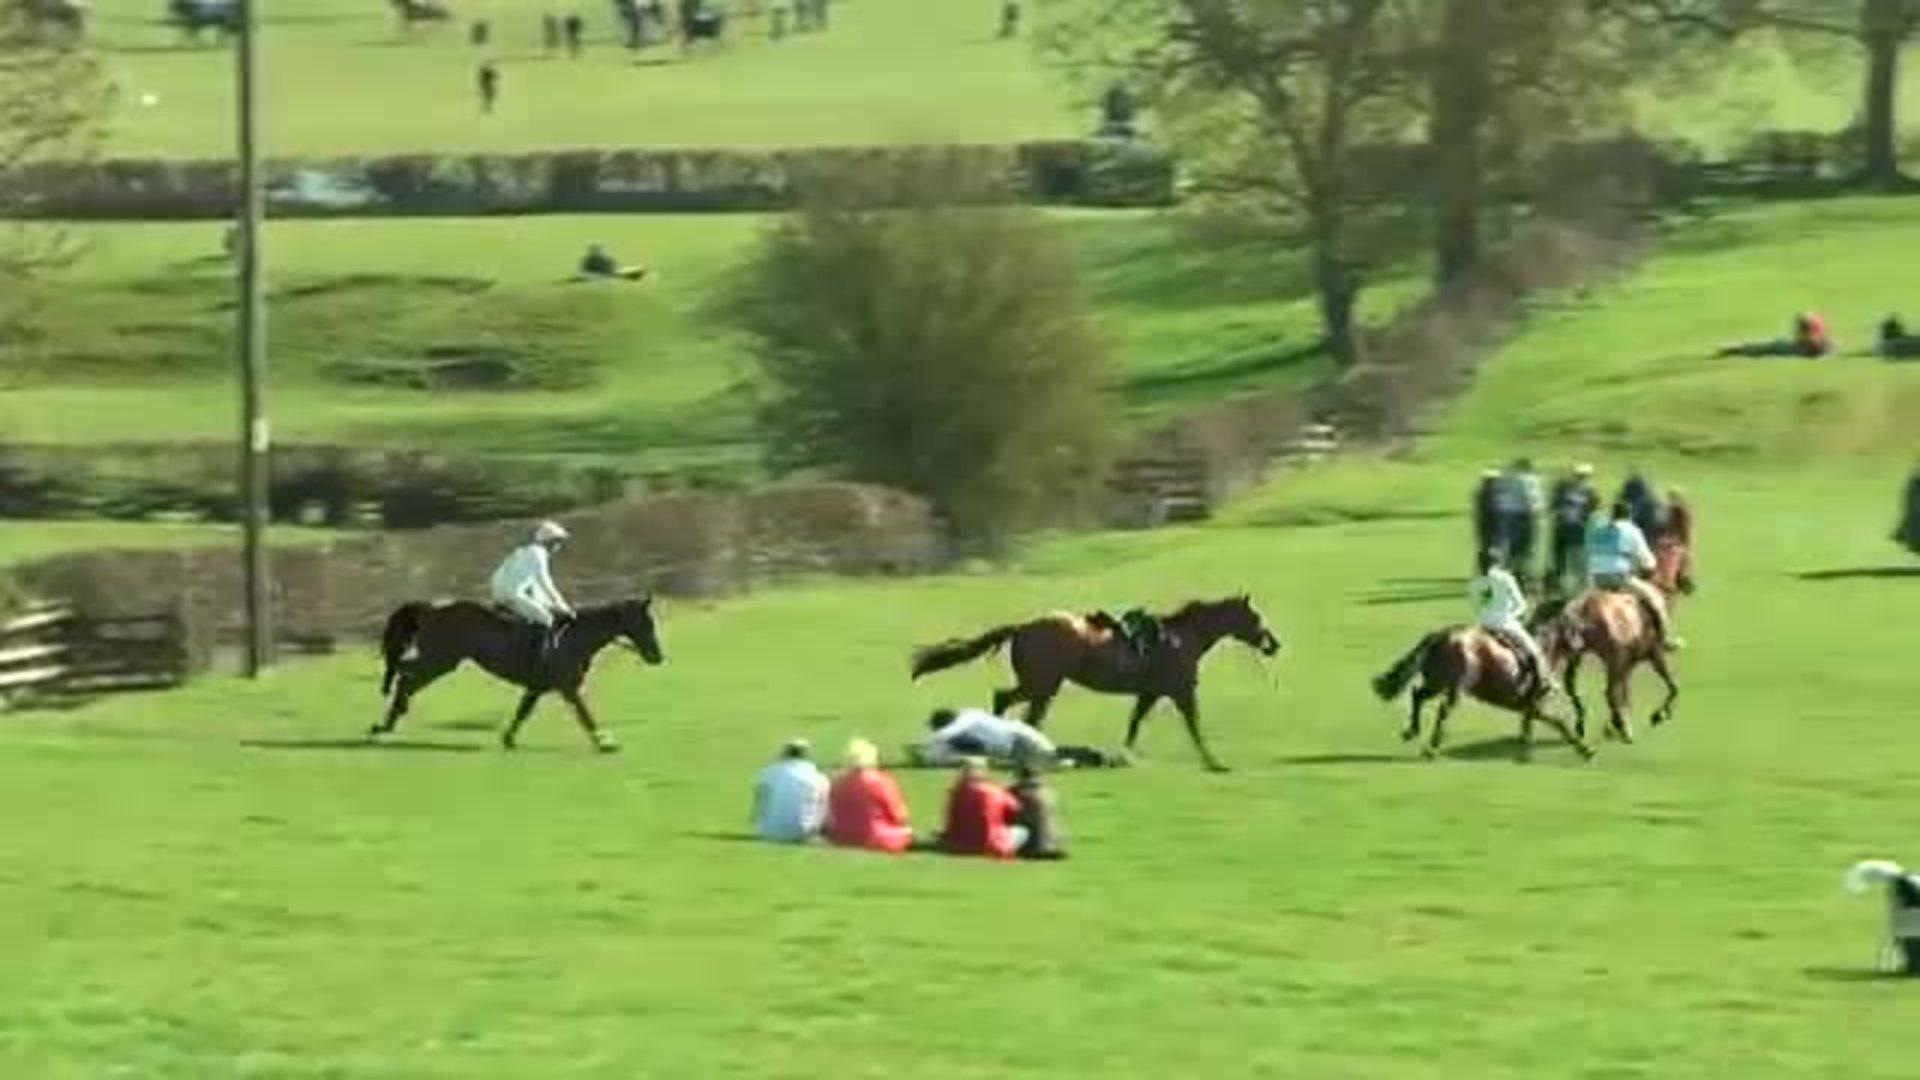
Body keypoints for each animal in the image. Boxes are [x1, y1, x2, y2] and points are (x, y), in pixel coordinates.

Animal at [373, 597, 664, 753]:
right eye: (645, 624)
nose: (657, 657)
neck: (574, 638)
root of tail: (432, 607)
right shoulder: (568, 687)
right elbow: (585, 715)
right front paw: (605, 743)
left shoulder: (537, 686)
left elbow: (523, 711)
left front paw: (508, 739)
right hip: (440, 660)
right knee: (405, 675)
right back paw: (386, 723)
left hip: (441, 661)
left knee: (405, 675)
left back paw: (389, 720)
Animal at [909, 594, 1281, 772]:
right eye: (1255, 617)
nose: (1273, 644)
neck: (1180, 639)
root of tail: (1023, 627)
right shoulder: (1181, 692)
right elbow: (1194, 726)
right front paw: (1214, 763)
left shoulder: (1150, 693)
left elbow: (1134, 724)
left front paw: (1123, 756)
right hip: (1043, 683)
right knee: (1013, 705)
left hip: (1041, 684)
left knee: (1015, 707)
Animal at [1371, 624, 1593, 762]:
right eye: (1576, 632)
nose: (1581, 649)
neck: (1544, 648)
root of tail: (1441, 635)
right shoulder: (1533, 705)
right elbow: (1560, 723)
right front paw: (1585, 749)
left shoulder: (1527, 707)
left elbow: (1529, 727)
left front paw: (1524, 748)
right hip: (1455, 687)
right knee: (1443, 710)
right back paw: (1432, 747)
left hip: (1436, 682)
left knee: (1417, 694)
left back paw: (1412, 731)